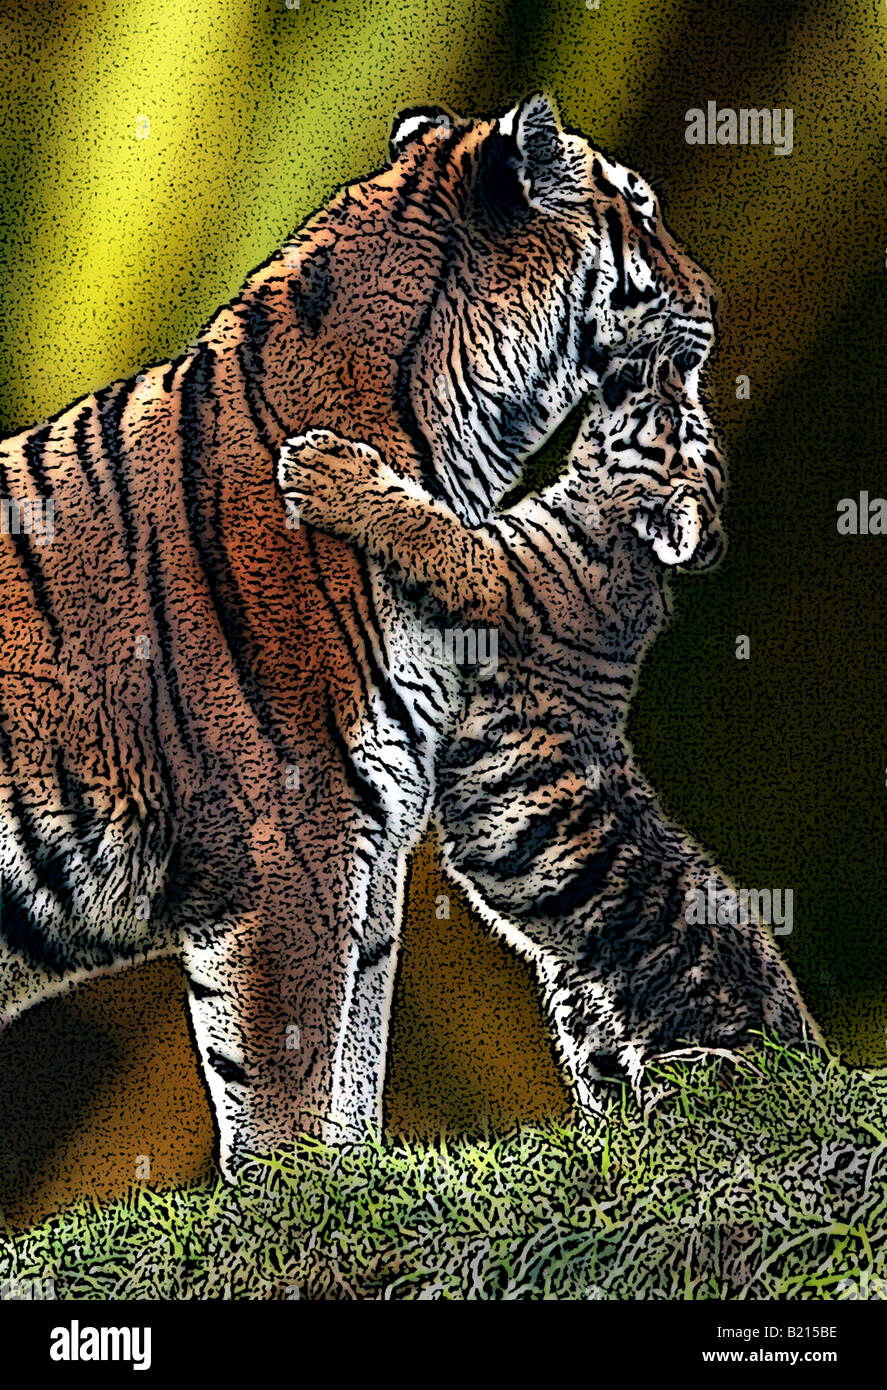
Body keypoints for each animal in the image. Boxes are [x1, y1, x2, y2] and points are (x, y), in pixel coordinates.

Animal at [0, 93, 729, 1179]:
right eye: (639, 208)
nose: (712, 299)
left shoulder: (372, 833)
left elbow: (350, 1064)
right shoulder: (290, 840)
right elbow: (287, 1077)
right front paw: (289, 1204)